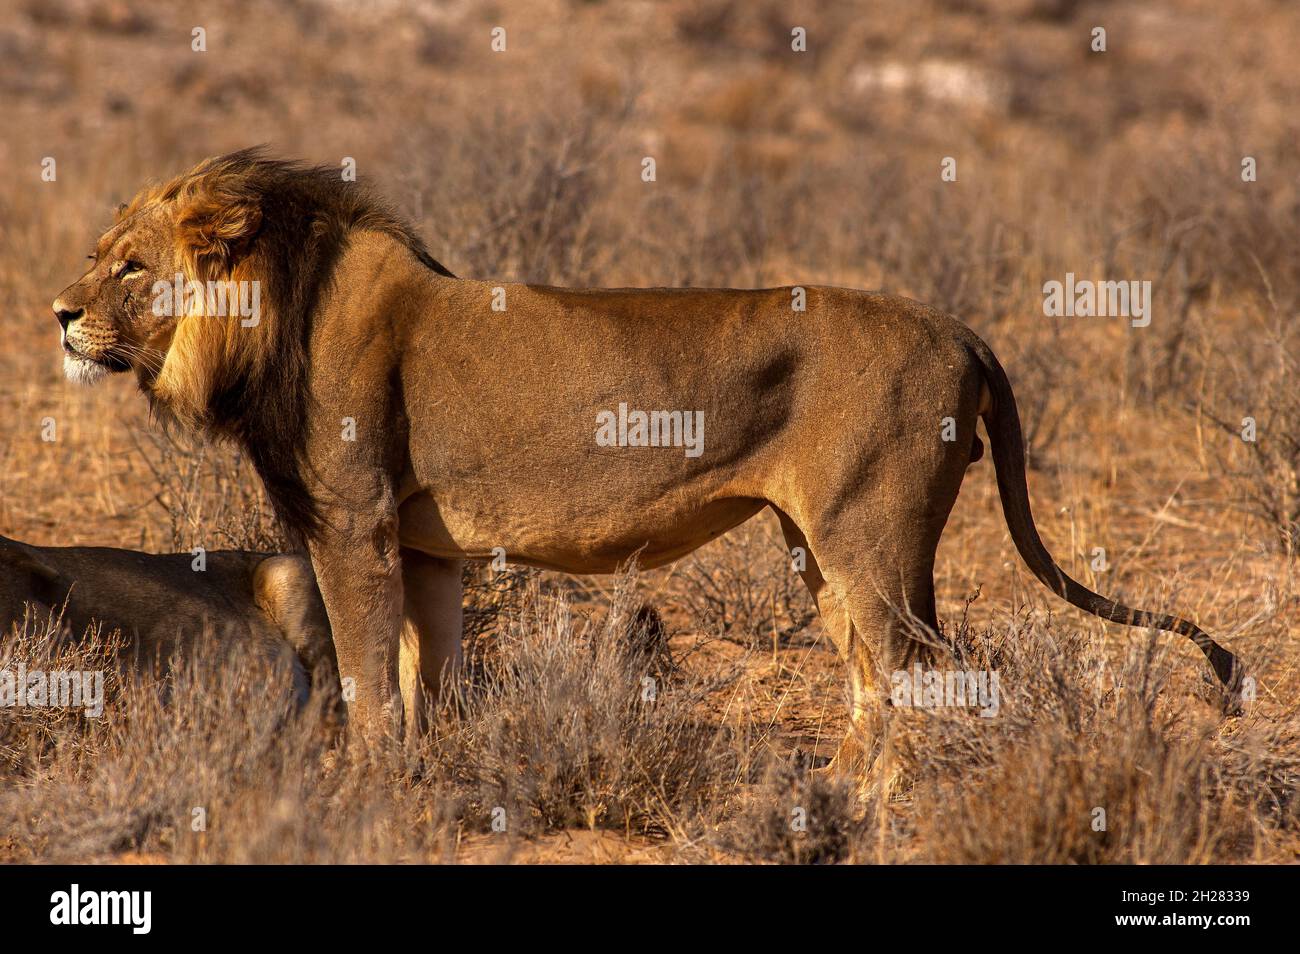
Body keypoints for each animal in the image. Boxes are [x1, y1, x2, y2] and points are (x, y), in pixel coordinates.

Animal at [51, 149, 1243, 768]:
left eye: (129, 267)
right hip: (822, 549)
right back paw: (837, 797)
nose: (59, 314)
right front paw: (433, 778)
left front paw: (368, 787)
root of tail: (960, 329)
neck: (273, 317)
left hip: (872, 538)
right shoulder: (425, 547)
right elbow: (426, 672)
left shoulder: (352, 525)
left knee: (921, 677)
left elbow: (362, 679)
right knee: (872, 682)